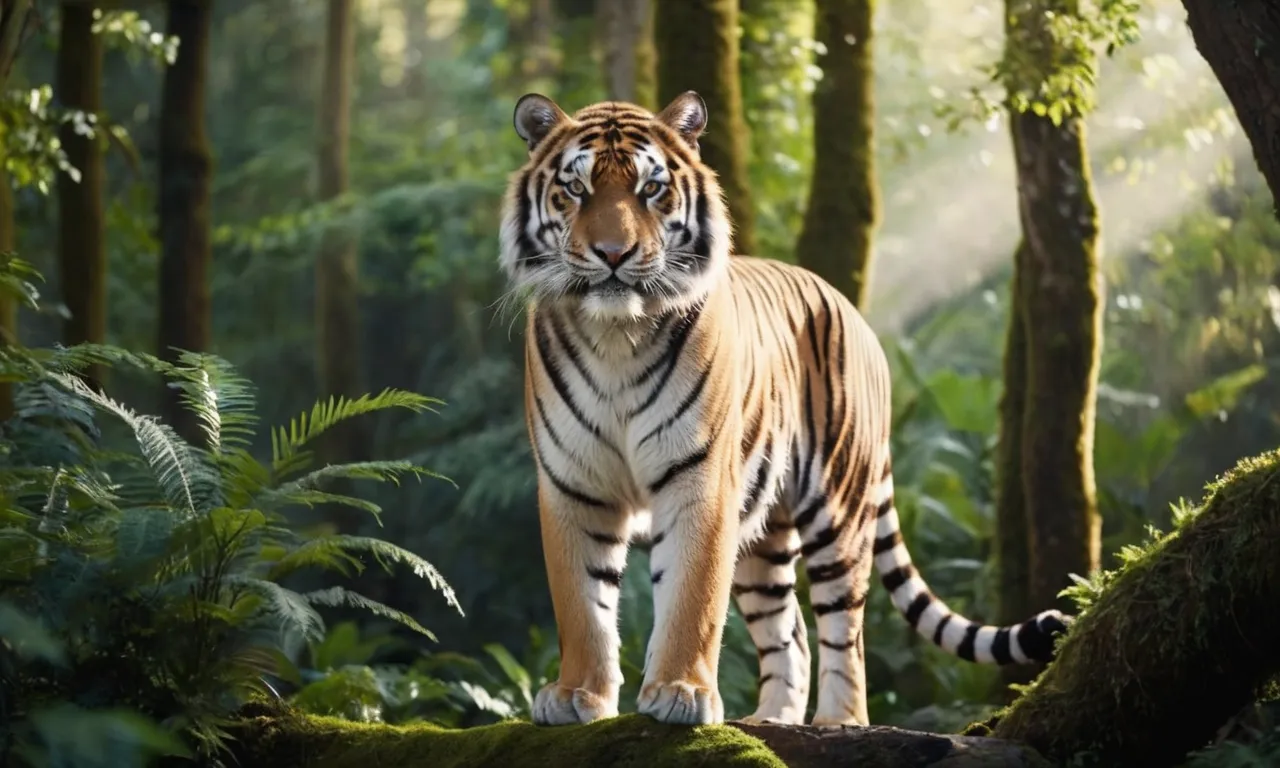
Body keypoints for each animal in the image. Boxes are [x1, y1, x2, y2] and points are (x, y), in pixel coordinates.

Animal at [497, 90, 1069, 728]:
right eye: (576, 188)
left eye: (651, 189)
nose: (614, 254)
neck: (617, 334)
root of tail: (858, 317)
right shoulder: (574, 483)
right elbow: (581, 604)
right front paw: (577, 696)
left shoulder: (699, 479)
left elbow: (692, 596)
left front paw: (680, 692)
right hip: (763, 533)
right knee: (789, 631)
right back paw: (769, 720)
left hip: (838, 508)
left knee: (844, 631)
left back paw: (840, 721)